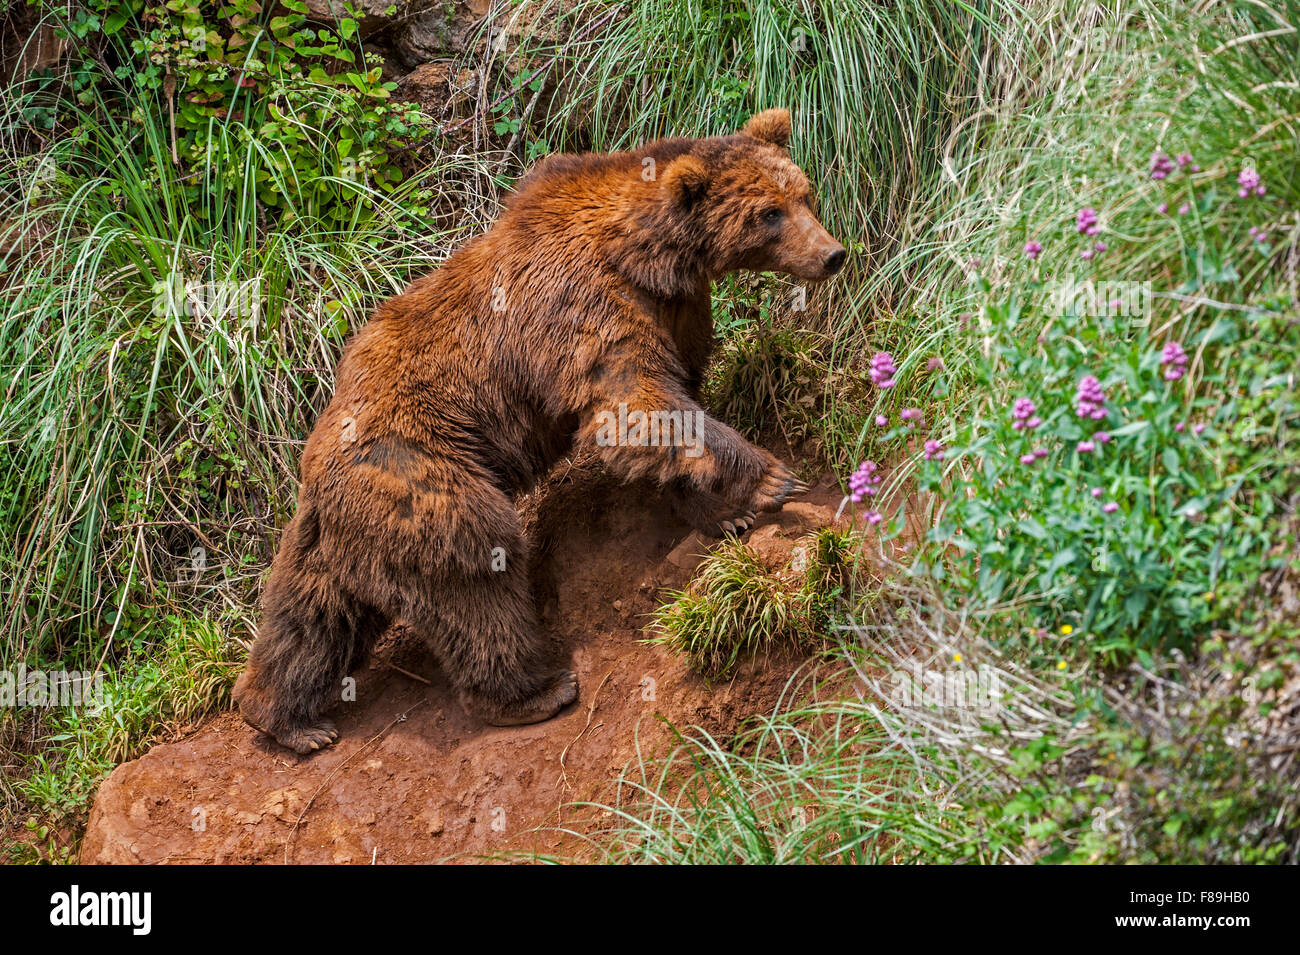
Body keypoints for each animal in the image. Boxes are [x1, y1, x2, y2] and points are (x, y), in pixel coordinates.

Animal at [232, 108, 846, 753]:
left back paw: (283, 716)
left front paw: (723, 512)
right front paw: (771, 478)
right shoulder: (583, 309)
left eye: (805, 194)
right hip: (421, 475)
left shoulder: (673, 307)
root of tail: (313, 466)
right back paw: (536, 691)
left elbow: (674, 402)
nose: (832, 253)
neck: (648, 257)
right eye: (769, 212)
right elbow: (636, 406)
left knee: (311, 612)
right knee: (477, 571)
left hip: (337, 529)